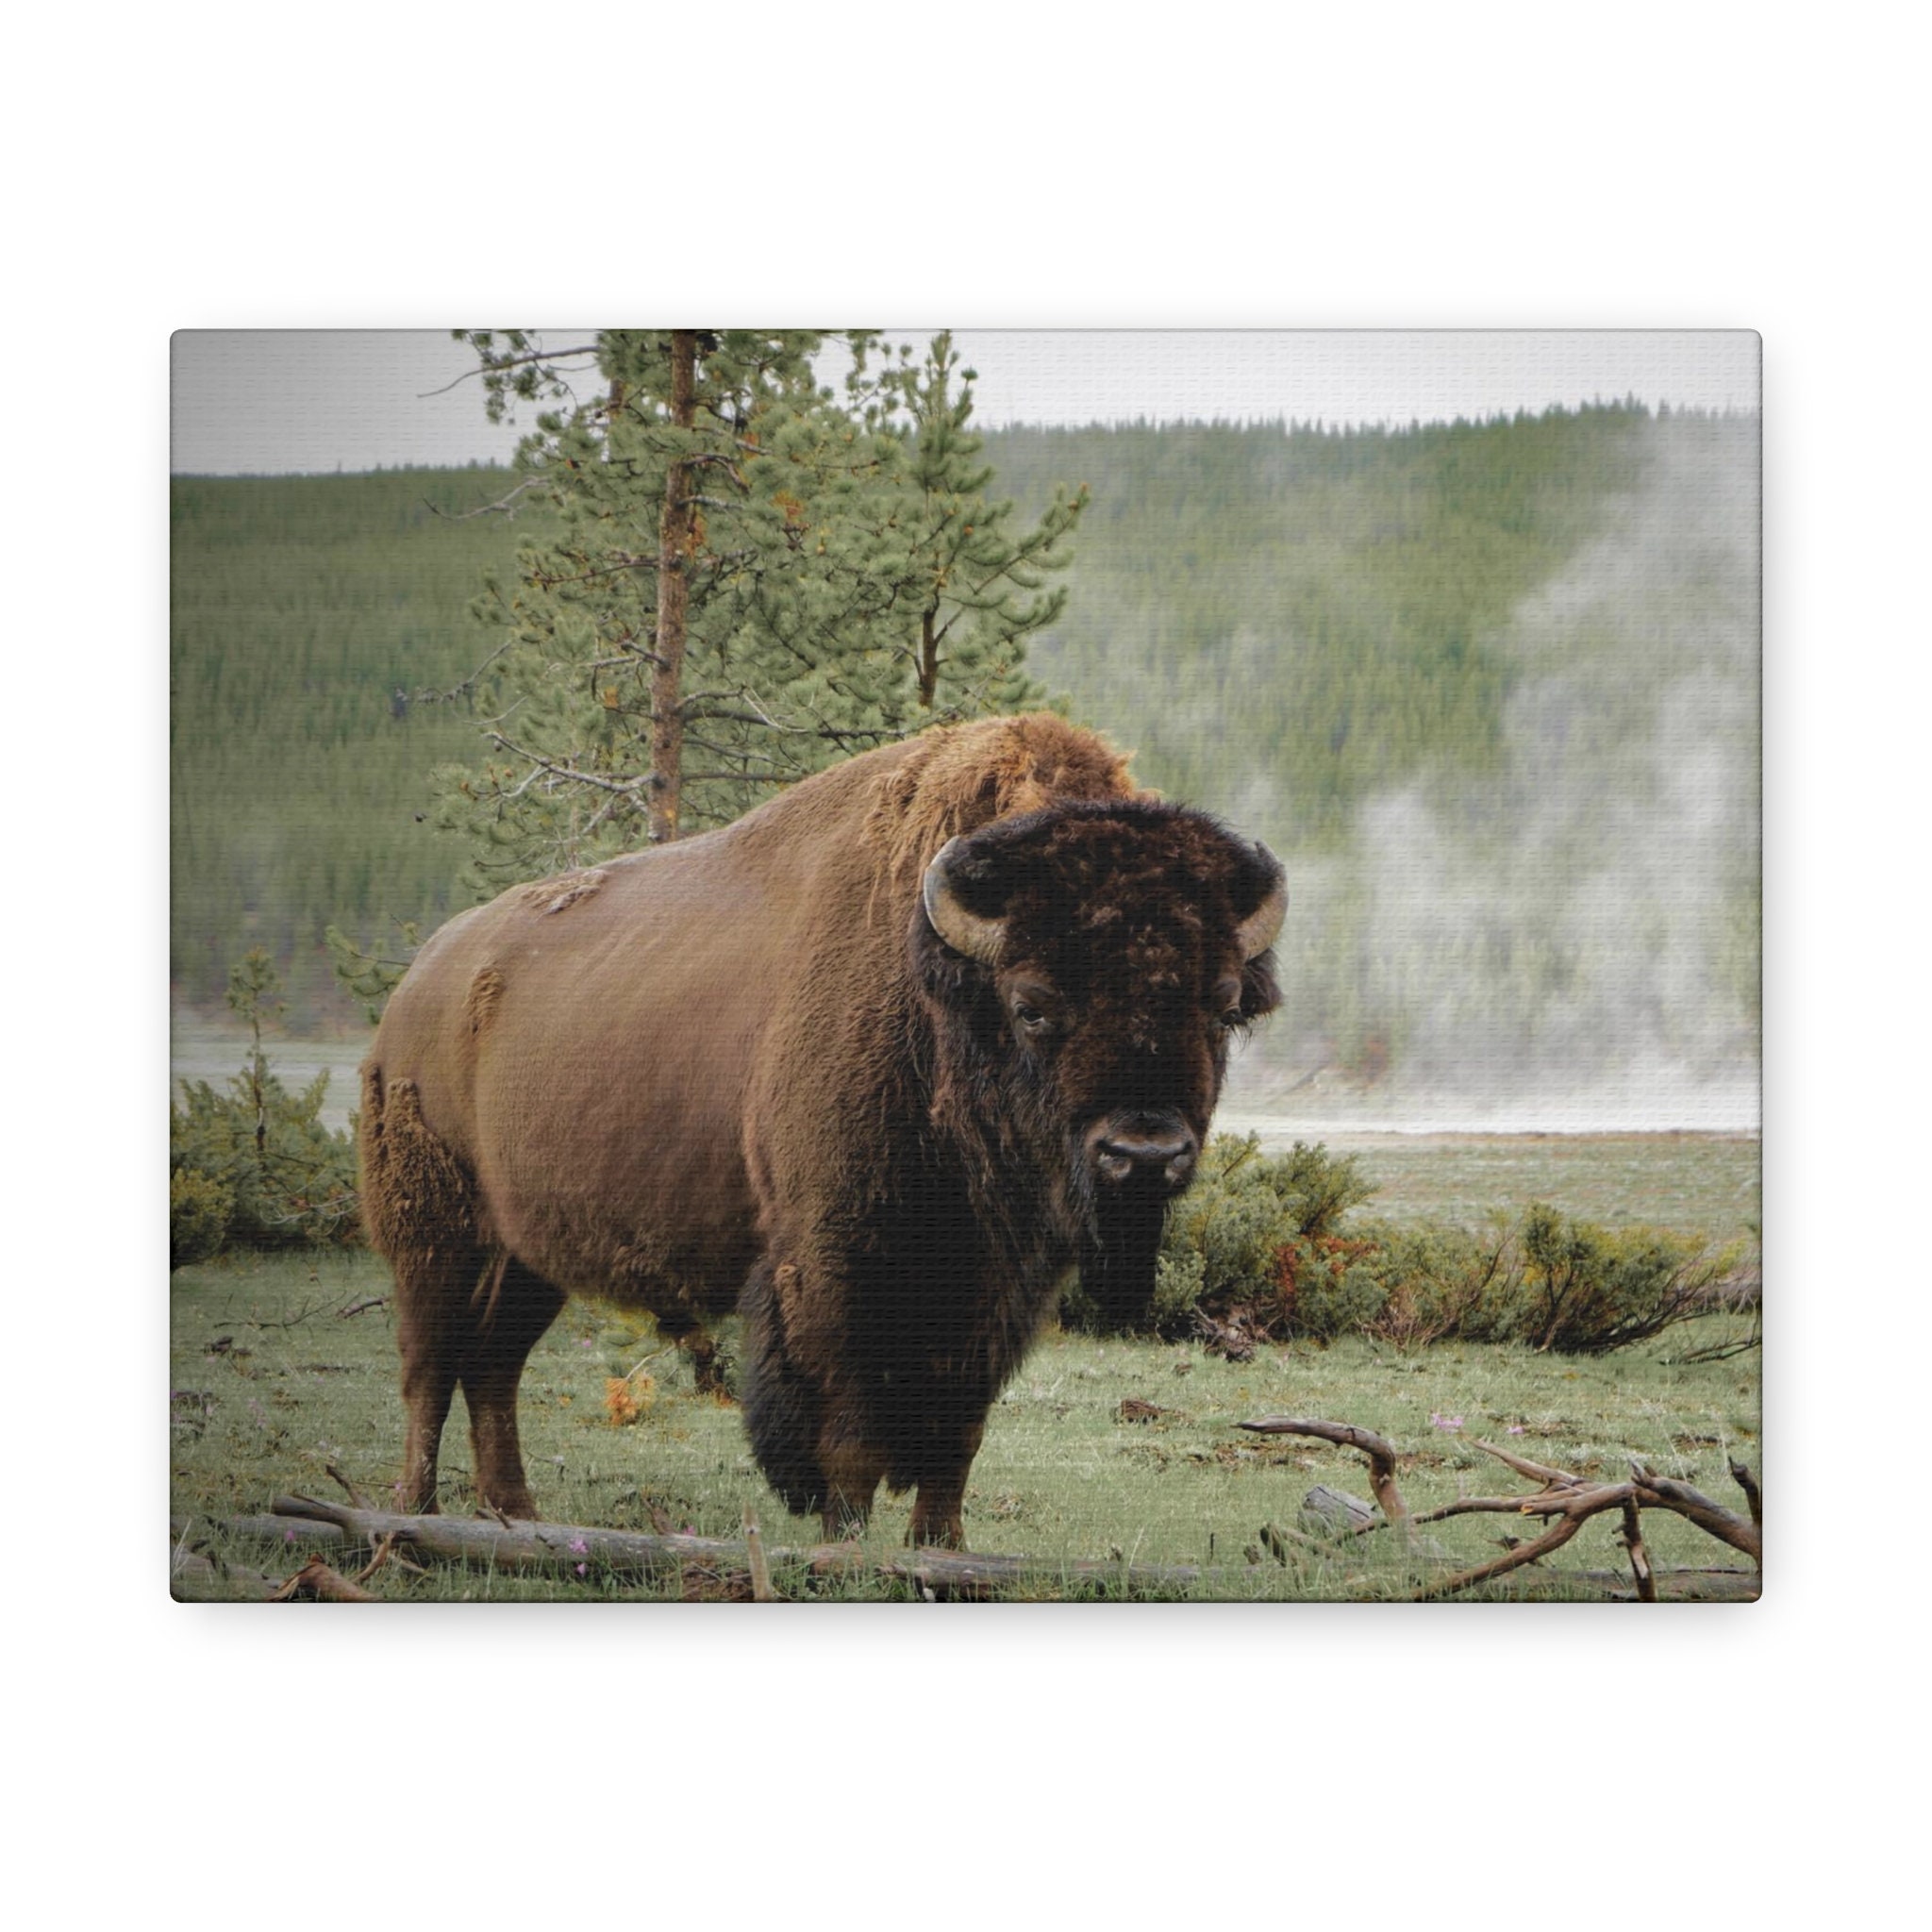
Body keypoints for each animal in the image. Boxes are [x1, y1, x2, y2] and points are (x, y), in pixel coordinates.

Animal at [358, 714, 1285, 1546]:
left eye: (1223, 1005)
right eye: (1032, 1005)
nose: (1145, 1154)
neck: (935, 998)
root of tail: (416, 989)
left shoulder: (994, 1290)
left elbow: (958, 1436)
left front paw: (940, 1549)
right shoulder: (838, 1266)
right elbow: (850, 1432)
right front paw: (845, 1542)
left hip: (525, 1256)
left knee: (492, 1368)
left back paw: (517, 1515)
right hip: (436, 1237)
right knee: (429, 1369)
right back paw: (415, 1516)